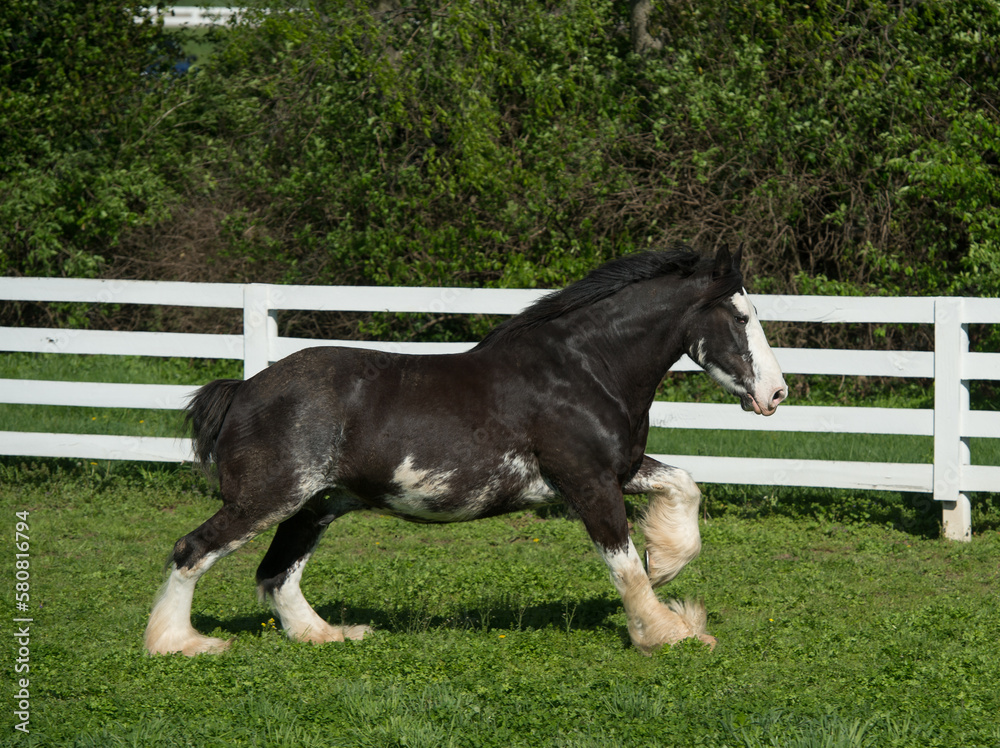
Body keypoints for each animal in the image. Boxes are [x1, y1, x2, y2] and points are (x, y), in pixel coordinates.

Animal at [145, 245, 787, 656]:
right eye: (739, 315)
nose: (776, 393)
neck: (584, 370)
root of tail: (243, 389)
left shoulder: (617, 470)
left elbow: (684, 484)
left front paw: (669, 561)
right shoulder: (588, 483)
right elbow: (624, 566)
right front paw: (665, 633)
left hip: (315, 505)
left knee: (276, 575)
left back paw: (329, 636)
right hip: (267, 498)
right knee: (192, 550)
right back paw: (179, 644)